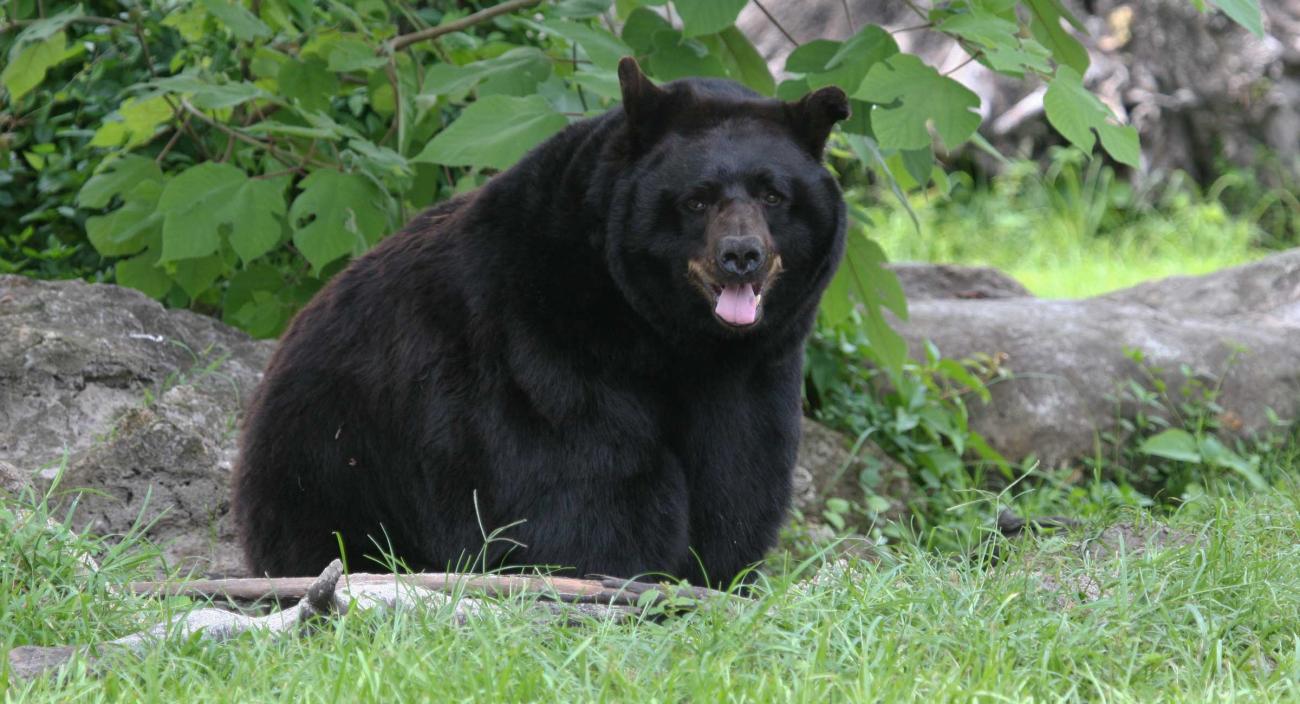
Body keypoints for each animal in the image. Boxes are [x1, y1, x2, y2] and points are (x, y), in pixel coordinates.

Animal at [231, 58, 849, 587]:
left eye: (774, 195)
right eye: (696, 200)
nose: (741, 255)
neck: (665, 334)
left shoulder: (757, 371)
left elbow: (738, 479)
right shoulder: (540, 346)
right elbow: (582, 487)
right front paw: (620, 570)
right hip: (335, 464)